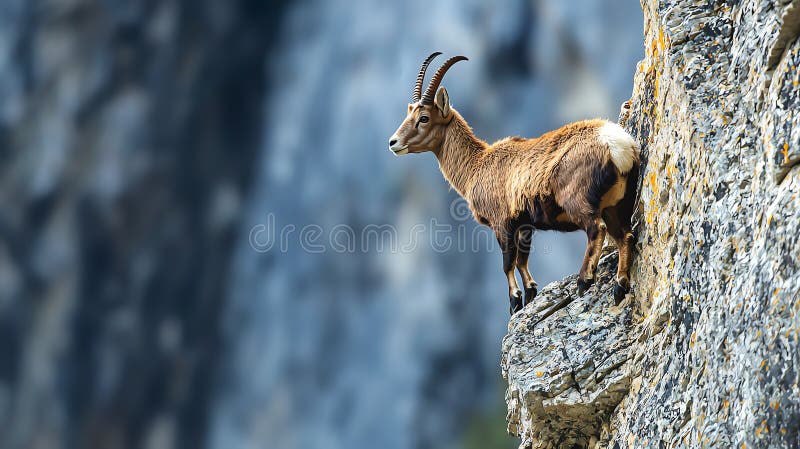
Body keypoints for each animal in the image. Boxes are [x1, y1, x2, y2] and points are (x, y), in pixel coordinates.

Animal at [388, 53, 640, 315]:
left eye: (424, 118)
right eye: (408, 114)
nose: (393, 142)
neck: (476, 165)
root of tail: (616, 144)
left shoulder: (502, 222)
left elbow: (507, 263)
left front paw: (515, 301)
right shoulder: (524, 225)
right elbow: (521, 260)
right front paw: (530, 293)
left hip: (579, 201)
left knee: (596, 229)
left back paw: (584, 281)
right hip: (617, 203)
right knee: (624, 236)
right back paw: (619, 287)